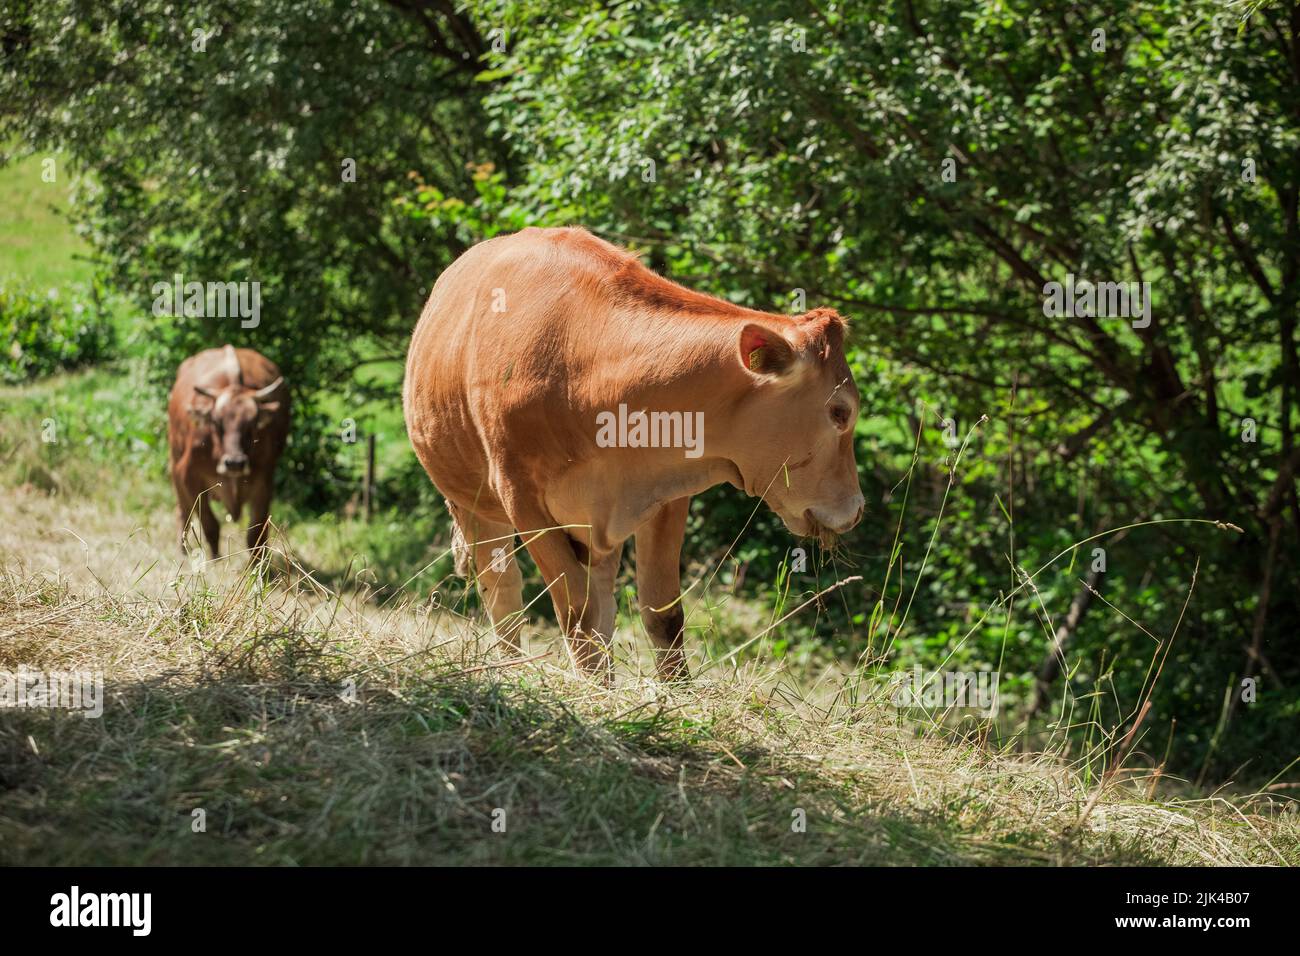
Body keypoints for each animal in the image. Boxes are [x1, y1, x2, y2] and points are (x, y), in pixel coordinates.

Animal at [167, 344, 289, 561]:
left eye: (252, 424)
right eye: (216, 422)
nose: (235, 463)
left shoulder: (264, 481)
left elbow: (256, 536)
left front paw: (258, 568)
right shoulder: (188, 476)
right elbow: (210, 525)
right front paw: (215, 561)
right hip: (175, 460)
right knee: (183, 512)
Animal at [403, 227, 863, 681]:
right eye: (840, 411)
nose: (857, 509)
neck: (585, 366)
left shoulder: (667, 491)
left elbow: (662, 614)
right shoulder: (522, 500)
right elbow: (575, 612)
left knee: (600, 595)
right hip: (473, 505)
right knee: (504, 596)